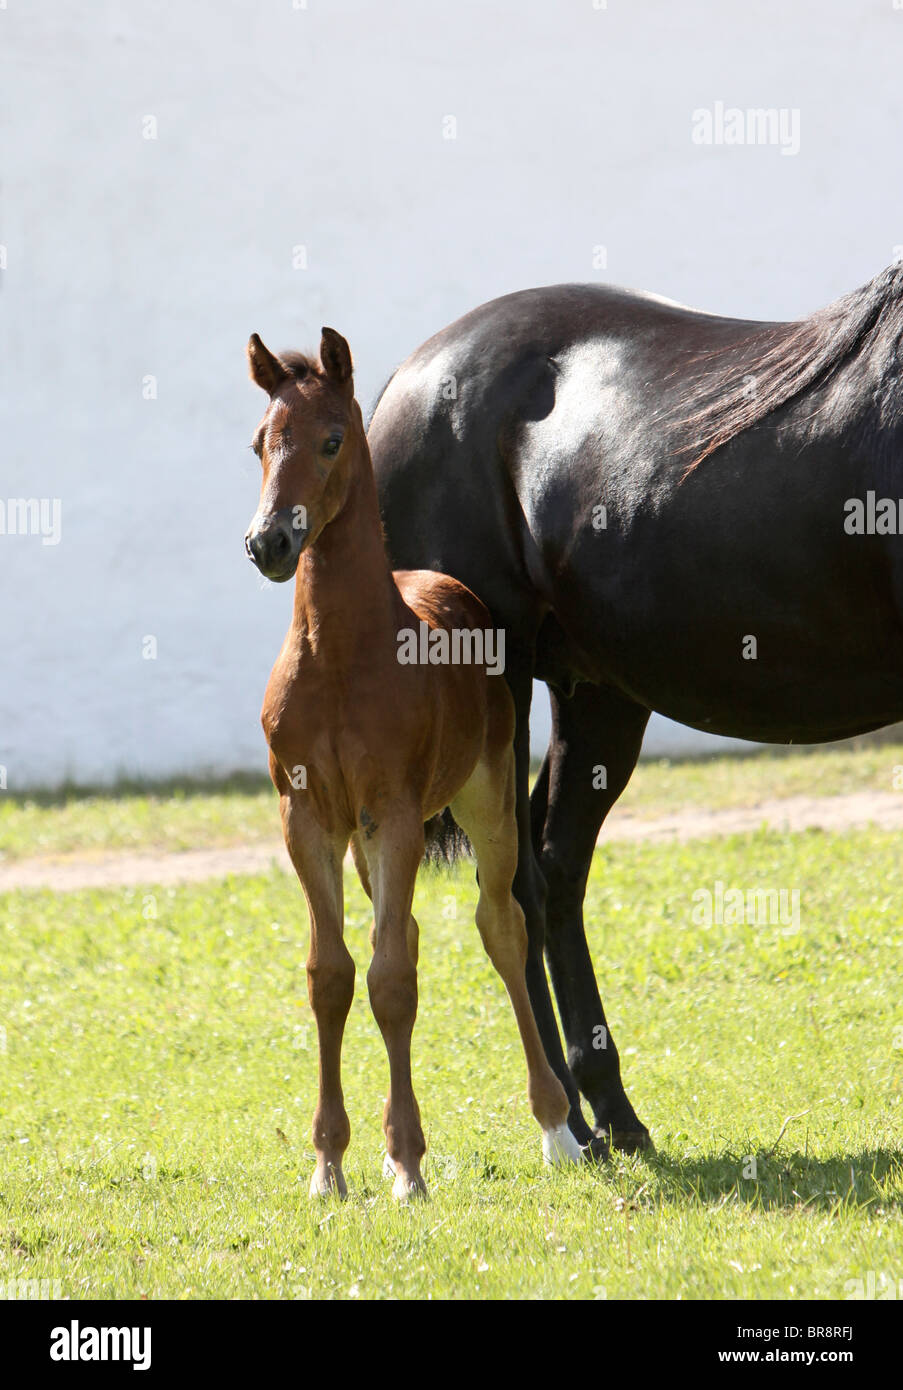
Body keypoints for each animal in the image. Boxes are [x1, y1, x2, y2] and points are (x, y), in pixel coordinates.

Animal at [243, 327, 583, 1199]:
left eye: (332, 439)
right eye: (260, 442)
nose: (269, 542)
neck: (338, 657)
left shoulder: (393, 810)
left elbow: (391, 981)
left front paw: (406, 1169)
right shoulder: (307, 816)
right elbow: (331, 975)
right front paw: (329, 1167)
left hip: (483, 798)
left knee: (501, 926)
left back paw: (558, 1129)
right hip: (367, 843)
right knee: (408, 933)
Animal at [367, 262, 903, 1158]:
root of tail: (405, 383)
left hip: (598, 696)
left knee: (555, 867)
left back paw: (610, 1112)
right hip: (501, 682)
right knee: (513, 884)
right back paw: (566, 1124)